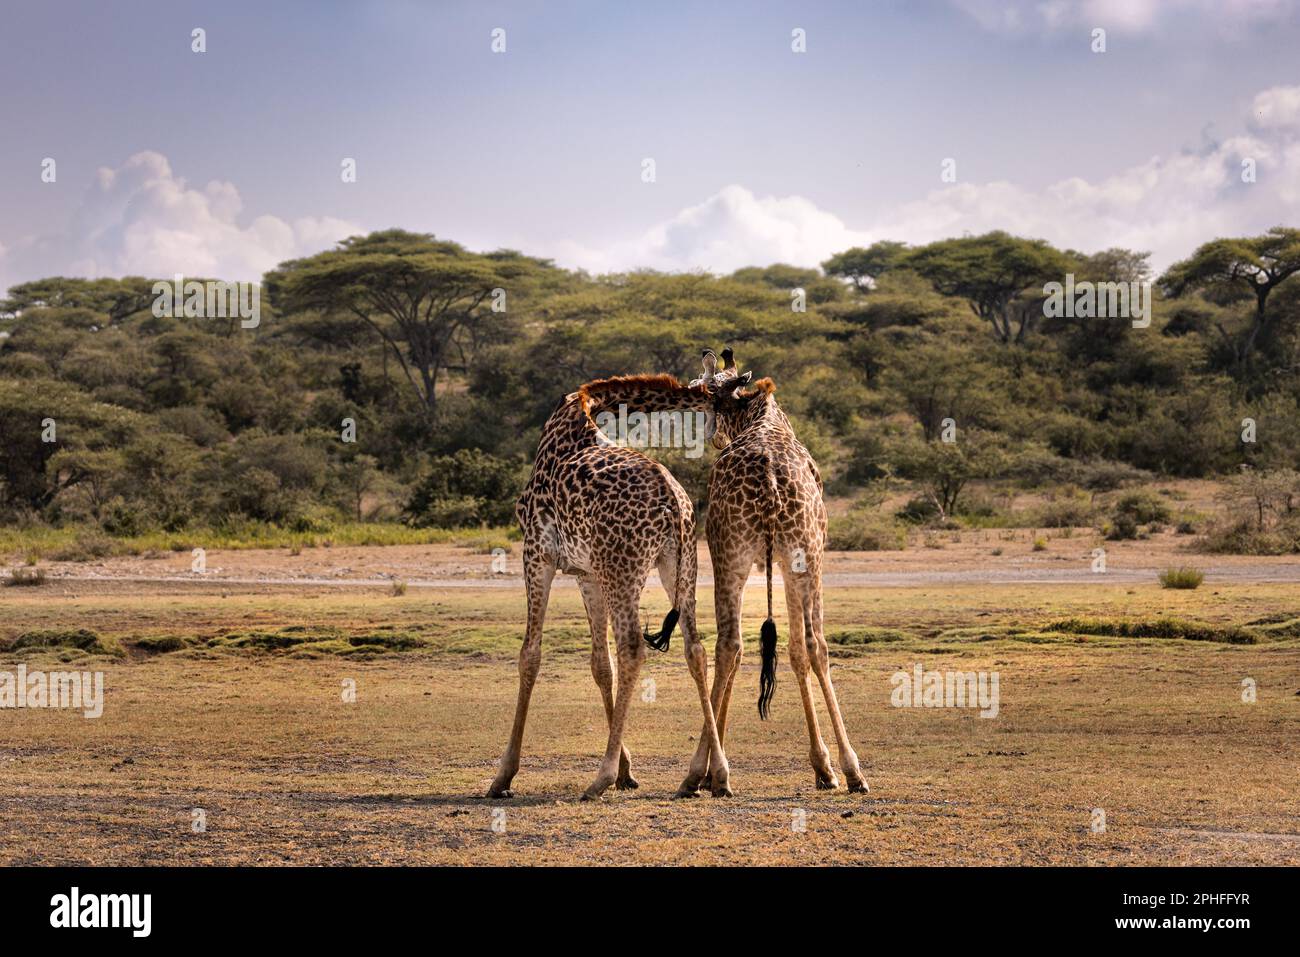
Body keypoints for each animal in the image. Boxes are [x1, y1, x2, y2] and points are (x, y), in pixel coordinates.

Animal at [487, 374, 732, 801]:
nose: (724, 442)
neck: (582, 406)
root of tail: (673, 502)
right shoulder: (586, 572)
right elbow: (601, 665)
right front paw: (627, 769)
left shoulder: (538, 553)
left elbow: (530, 655)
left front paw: (503, 776)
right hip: (677, 567)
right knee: (696, 649)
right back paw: (712, 775)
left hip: (623, 570)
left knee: (632, 648)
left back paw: (598, 779)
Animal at [680, 348, 869, 796]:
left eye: (704, 390)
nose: (711, 436)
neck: (761, 416)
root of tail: (768, 478)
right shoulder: (788, 562)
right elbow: (799, 649)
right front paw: (824, 767)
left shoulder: (776, 562)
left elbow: (788, 649)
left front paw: (822, 767)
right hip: (802, 556)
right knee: (812, 643)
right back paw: (853, 770)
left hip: (737, 555)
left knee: (732, 644)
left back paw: (705, 773)